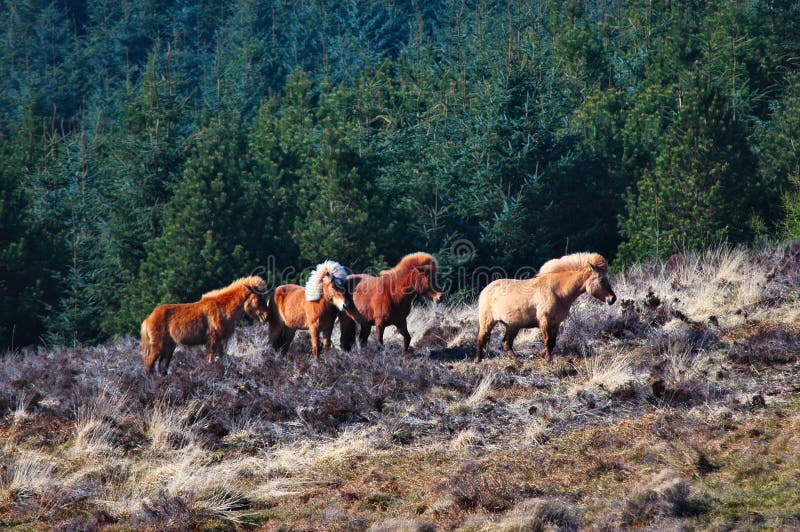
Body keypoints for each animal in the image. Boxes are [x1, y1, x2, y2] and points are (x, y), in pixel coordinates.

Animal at [141, 276, 269, 375]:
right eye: (258, 298)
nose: (267, 316)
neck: (222, 309)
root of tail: (148, 319)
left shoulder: (220, 341)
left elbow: (221, 358)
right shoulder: (213, 339)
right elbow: (211, 359)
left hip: (169, 347)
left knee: (161, 367)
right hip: (158, 346)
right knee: (148, 366)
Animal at [475, 252, 616, 363]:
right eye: (601, 279)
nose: (612, 299)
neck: (557, 291)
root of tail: (485, 290)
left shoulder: (556, 323)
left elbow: (552, 342)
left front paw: (541, 356)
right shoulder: (545, 322)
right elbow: (548, 341)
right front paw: (548, 359)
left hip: (512, 326)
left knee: (506, 343)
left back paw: (517, 361)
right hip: (488, 322)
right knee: (481, 339)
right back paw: (478, 360)